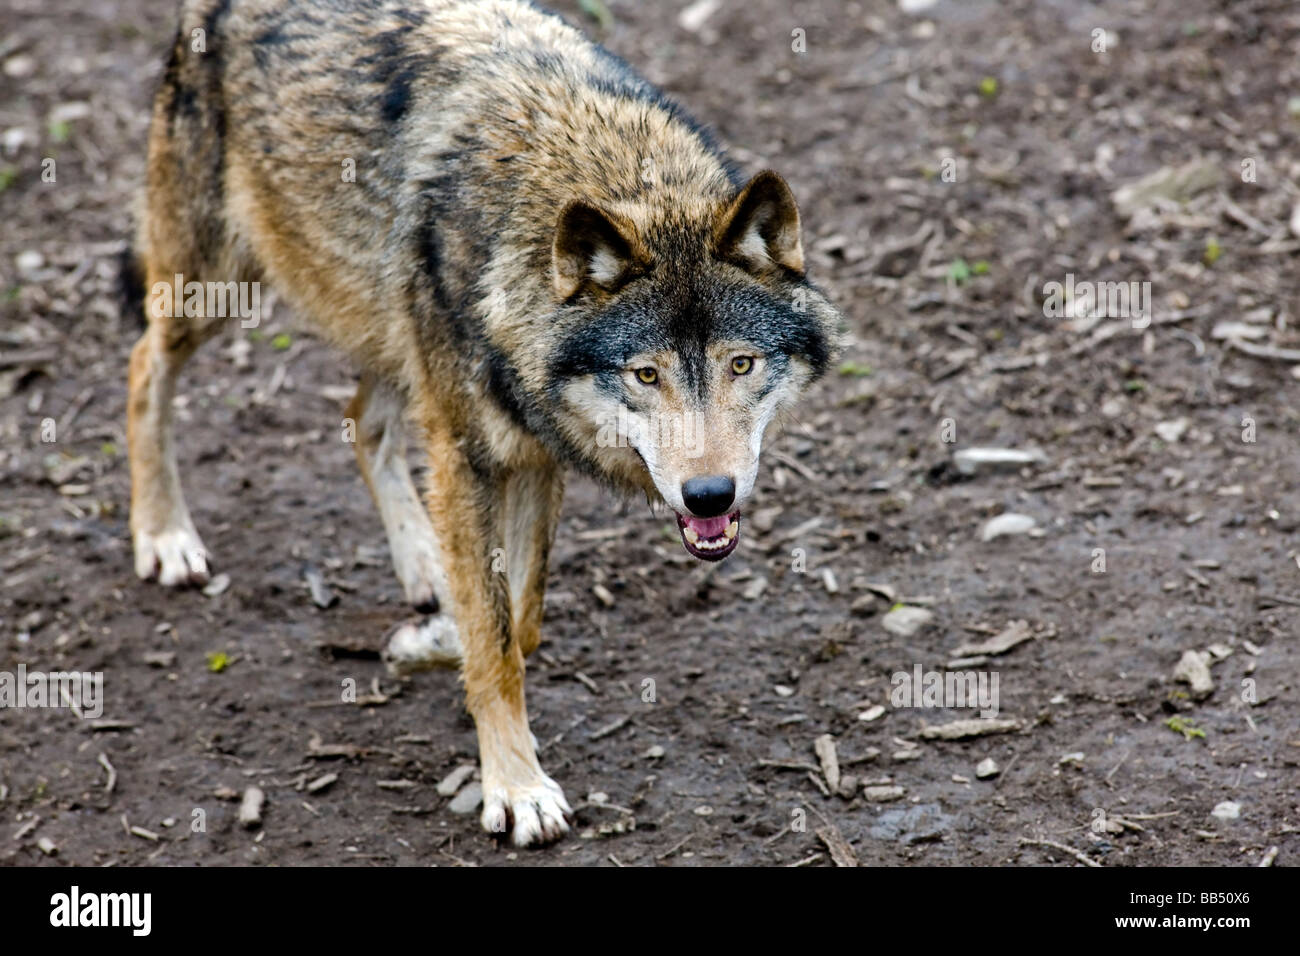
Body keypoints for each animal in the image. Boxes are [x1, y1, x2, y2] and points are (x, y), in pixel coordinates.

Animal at [128, 0, 842, 846]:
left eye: (741, 364)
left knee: (361, 421)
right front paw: (517, 788)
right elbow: (497, 640)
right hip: (213, 288)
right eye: (646, 374)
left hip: (390, 334)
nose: (710, 495)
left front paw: (441, 640)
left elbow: (518, 622)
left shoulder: (533, 454)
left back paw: (424, 573)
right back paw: (165, 536)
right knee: (142, 369)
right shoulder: (468, 454)